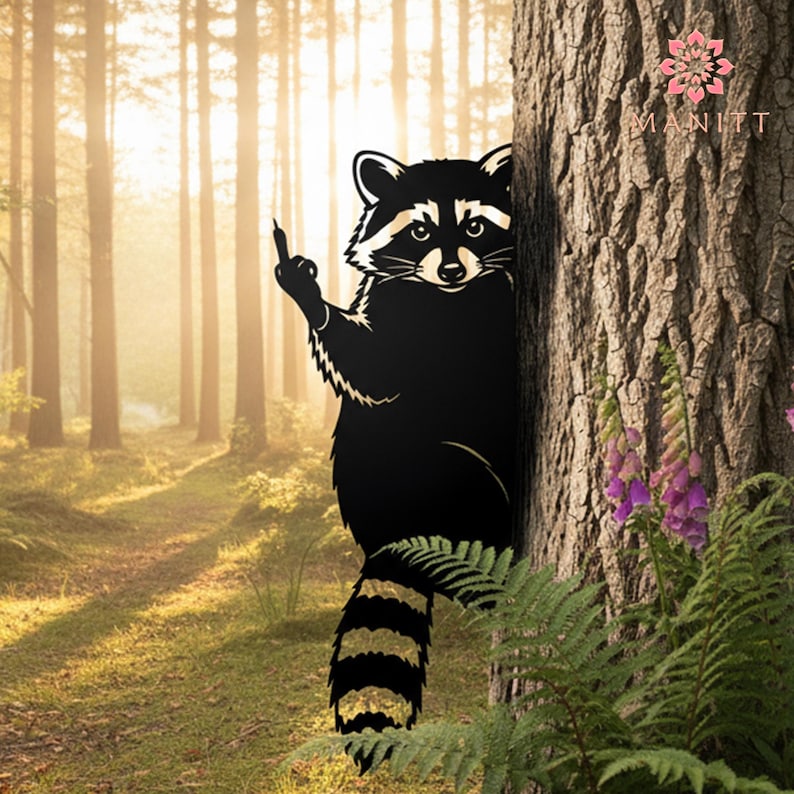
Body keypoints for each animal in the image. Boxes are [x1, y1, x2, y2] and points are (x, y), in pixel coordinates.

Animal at [275, 144, 515, 735]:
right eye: (420, 231)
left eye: (474, 226)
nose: (452, 270)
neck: (448, 298)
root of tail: (391, 533)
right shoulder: (395, 314)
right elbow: (375, 371)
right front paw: (311, 298)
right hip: (429, 474)